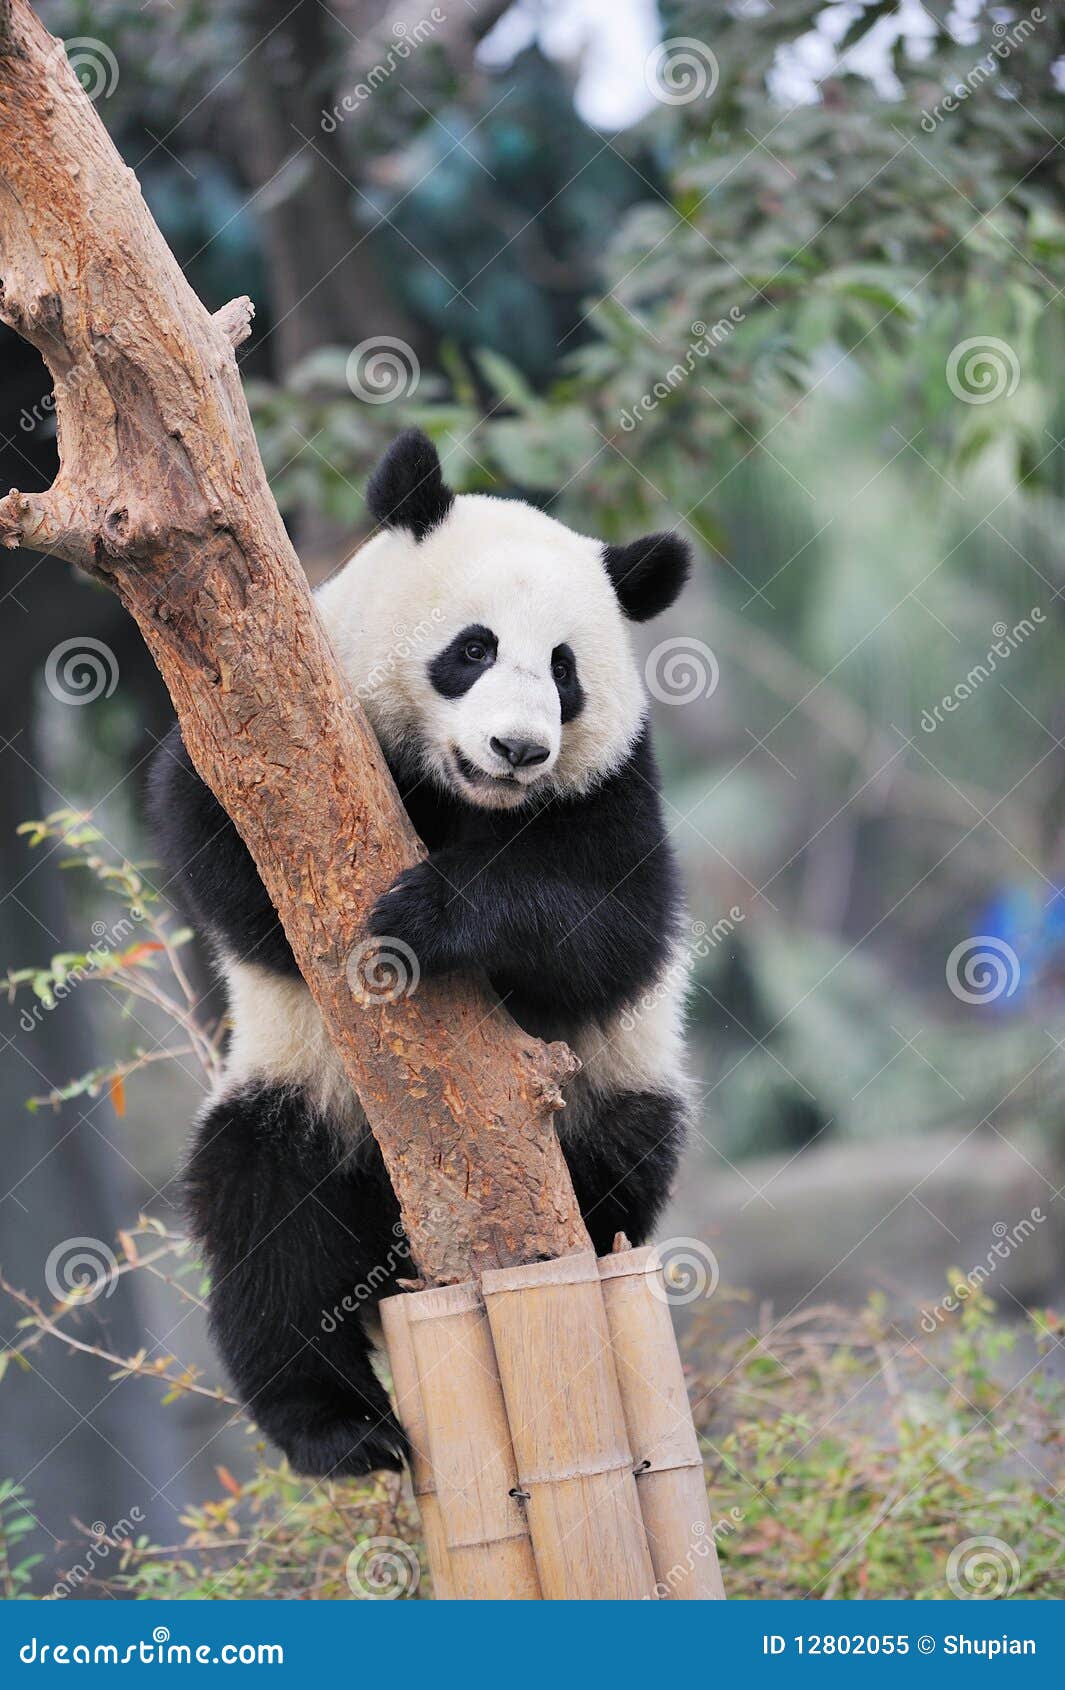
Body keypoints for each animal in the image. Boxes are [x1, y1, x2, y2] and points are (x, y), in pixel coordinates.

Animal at [148, 429, 693, 1480]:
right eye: (472, 649)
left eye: (564, 671)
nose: (518, 750)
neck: (457, 798)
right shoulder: (250, 738)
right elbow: (224, 868)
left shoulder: (614, 786)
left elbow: (615, 929)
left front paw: (430, 914)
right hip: (301, 1093)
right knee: (268, 1226)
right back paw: (342, 1429)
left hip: (613, 1087)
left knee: (622, 1160)